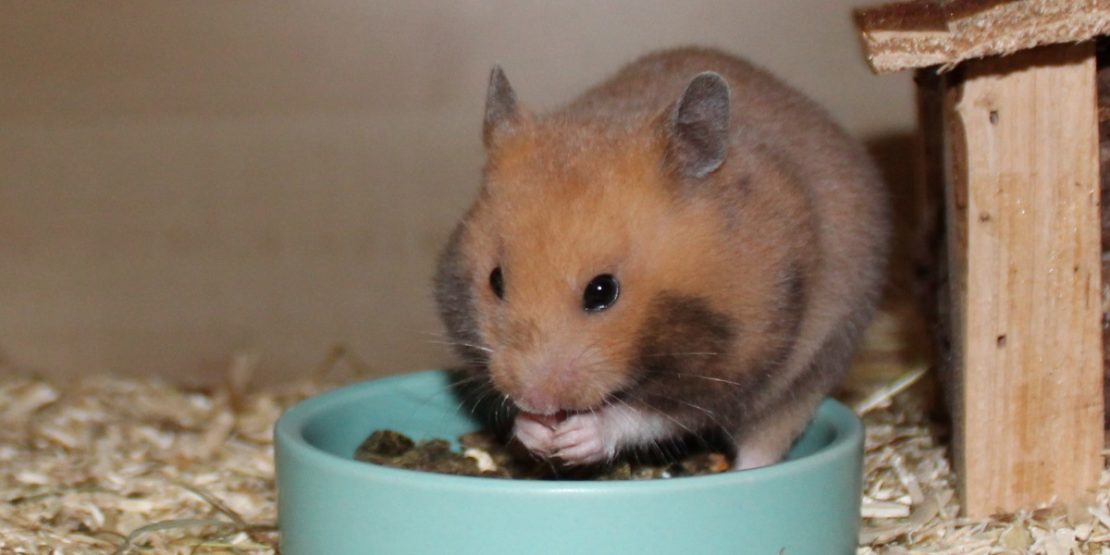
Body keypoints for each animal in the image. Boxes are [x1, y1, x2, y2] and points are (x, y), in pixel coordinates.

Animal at [434, 47, 889, 470]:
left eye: (603, 291)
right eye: (496, 281)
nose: (537, 399)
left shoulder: (728, 369)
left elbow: (651, 415)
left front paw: (576, 437)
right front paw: (535, 431)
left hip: (819, 363)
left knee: (770, 435)